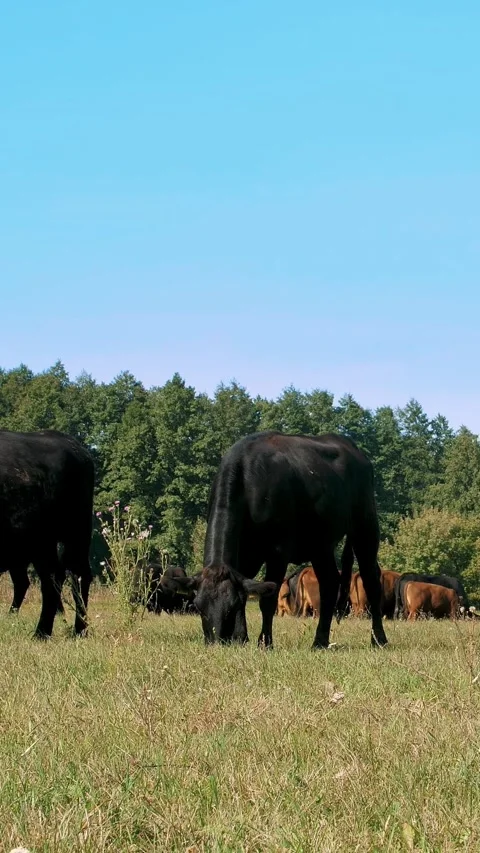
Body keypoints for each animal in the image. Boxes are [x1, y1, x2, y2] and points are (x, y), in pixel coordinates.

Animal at [170, 431, 387, 649]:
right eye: (199, 607)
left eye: (230, 607)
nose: (216, 643)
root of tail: (351, 446)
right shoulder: (244, 557)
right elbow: (245, 589)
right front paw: (241, 637)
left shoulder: (278, 552)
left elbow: (267, 599)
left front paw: (264, 642)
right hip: (320, 544)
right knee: (330, 583)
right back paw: (320, 641)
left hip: (366, 527)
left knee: (371, 580)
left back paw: (379, 639)